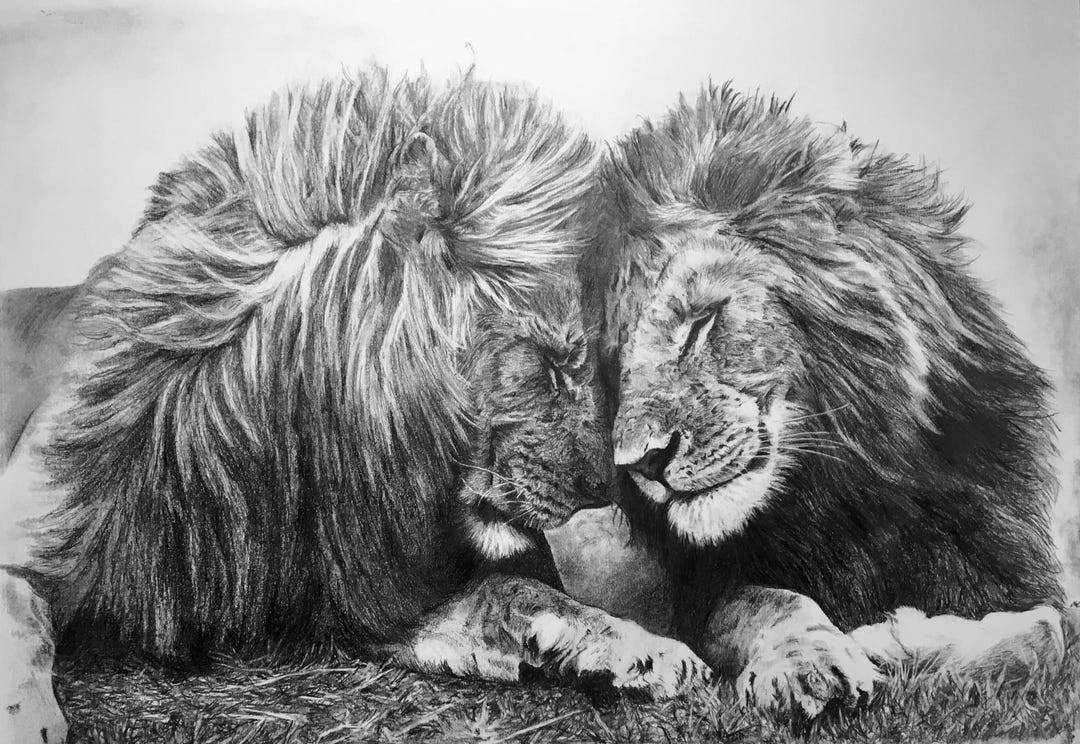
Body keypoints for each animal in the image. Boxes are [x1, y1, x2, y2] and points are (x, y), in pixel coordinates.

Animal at [0, 68, 711, 742]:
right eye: (548, 362)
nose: (607, 488)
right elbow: (17, 622)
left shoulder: (370, 595)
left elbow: (518, 590)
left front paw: (643, 649)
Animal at [563, 82, 1068, 718]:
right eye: (615, 365)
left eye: (701, 322)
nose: (642, 463)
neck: (849, 497)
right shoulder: (706, 592)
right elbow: (771, 602)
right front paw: (811, 663)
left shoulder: (1008, 571)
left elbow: (1046, 635)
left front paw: (893, 643)